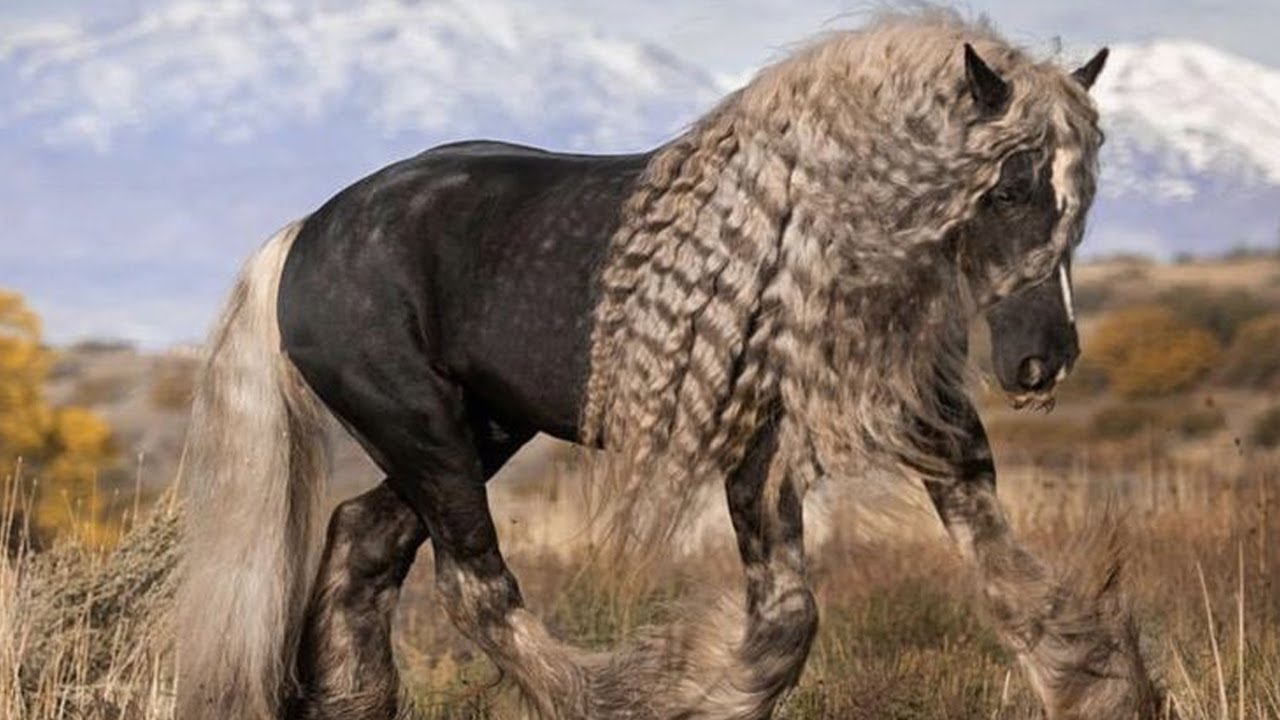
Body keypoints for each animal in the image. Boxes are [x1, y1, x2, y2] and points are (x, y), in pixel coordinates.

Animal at [176, 11, 1160, 720]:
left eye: (1082, 193)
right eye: (1008, 187)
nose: (1043, 361)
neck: (802, 231)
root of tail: (309, 232)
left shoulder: (928, 419)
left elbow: (1003, 574)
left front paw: (1101, 686)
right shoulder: (759, 446)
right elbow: (787, 622)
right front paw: (701, 699)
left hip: (478, 428)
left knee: (365, 542)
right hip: (421, 428)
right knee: (472, 583)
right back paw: (610, 695)